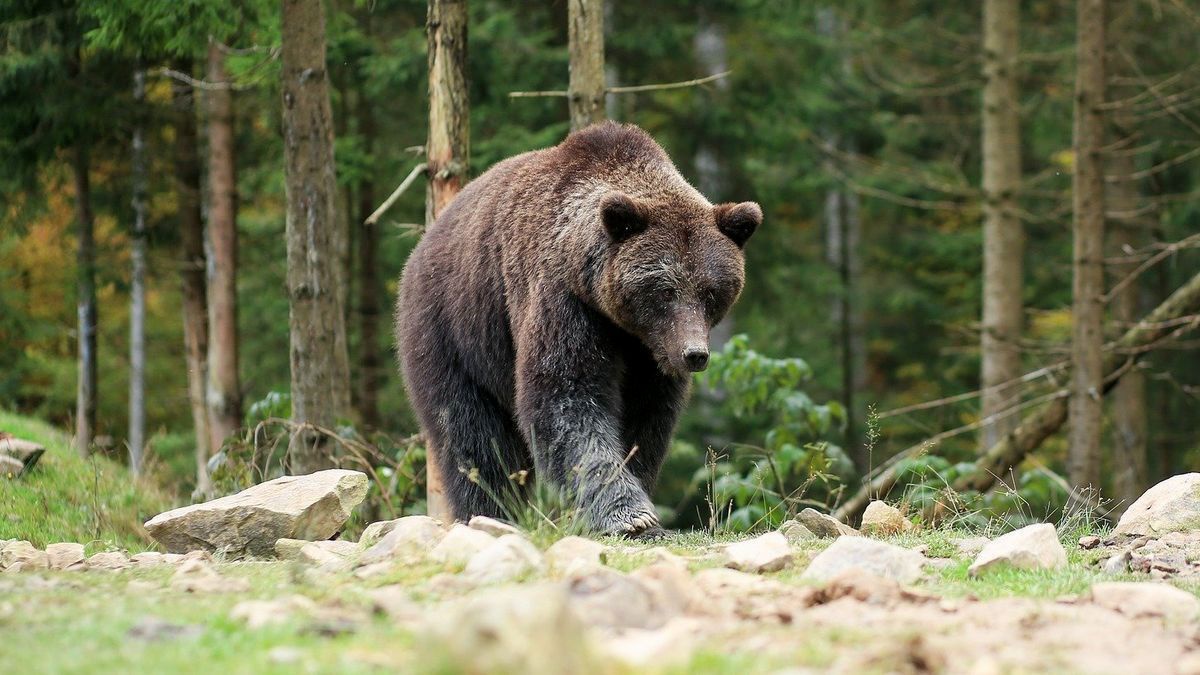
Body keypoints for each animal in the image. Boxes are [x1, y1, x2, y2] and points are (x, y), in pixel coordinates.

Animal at [396, 121, 761, 536]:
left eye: (711, 291)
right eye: (666, 290)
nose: (694, 354)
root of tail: (425, 241)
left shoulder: (648, 354)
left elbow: (645, 417)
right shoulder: (563, 301)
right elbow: (566, 394)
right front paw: (630, 514)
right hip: (454, 327)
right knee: (471, 432)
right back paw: (490, 510)